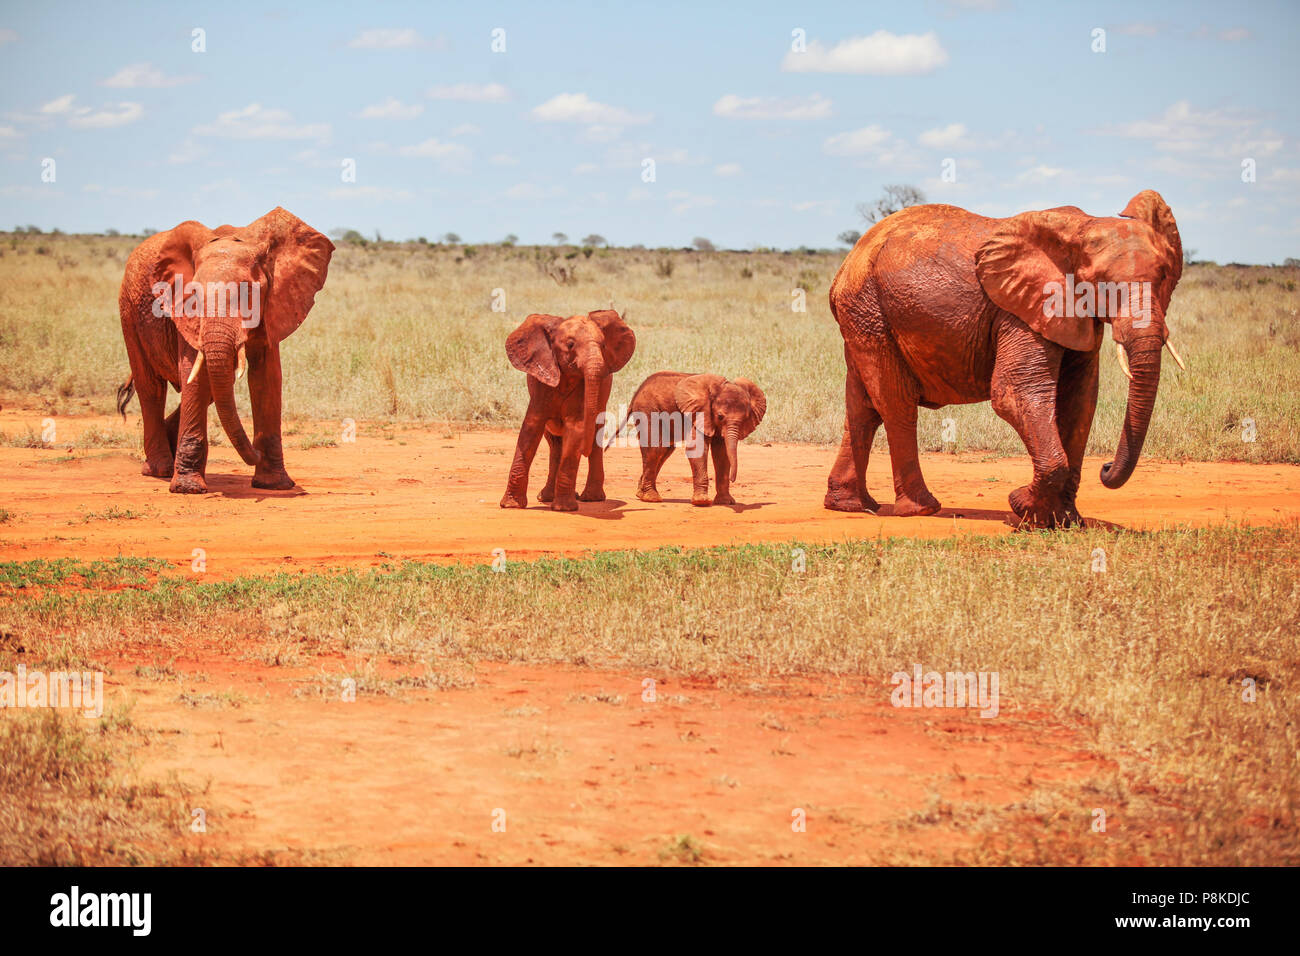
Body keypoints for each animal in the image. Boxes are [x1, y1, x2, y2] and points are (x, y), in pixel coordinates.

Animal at [116, 207, 333, 494]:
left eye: (249, 292)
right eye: (194, 294)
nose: (256, 453)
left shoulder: (274, 305)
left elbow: (267, 375)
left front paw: (276, 485)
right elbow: (194, 372)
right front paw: (188, 488)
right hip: (128, 310)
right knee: (151, 387)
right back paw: (160, 470)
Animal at [500, 309, 636, 511]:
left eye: (603, 345)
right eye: (570, 345)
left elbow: (576, 427)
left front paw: (564, 508)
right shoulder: (541, 383)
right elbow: (531, 428)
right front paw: (511, 506)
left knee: (593, 439)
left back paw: (589, 498)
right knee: (555, 445)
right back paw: (547, 497)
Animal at [605, 371, 767, 506]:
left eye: (745, 418)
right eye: (720, 416)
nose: (734, 479)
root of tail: (636, 393)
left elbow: (722, 454)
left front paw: (726, 502)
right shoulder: (700, 413)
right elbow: (697, 449)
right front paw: (702, 502)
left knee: (665, 449)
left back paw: (641, 494)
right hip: (647, 410)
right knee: (655, 449)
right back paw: (651, 498)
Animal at [824, 189, 1185, 528]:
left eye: (1165, 276)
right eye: (1102, 284)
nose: (1106, 467)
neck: (1082, 229)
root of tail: (847, 263)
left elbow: (1079, 403)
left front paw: (1066, 521)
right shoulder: (1021, 311)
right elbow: (1014, 393)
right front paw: (1022, 506)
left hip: (863, 313)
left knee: (862, 407)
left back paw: (851, 505)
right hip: (869, 309)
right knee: (895, 404)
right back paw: (921, 508)